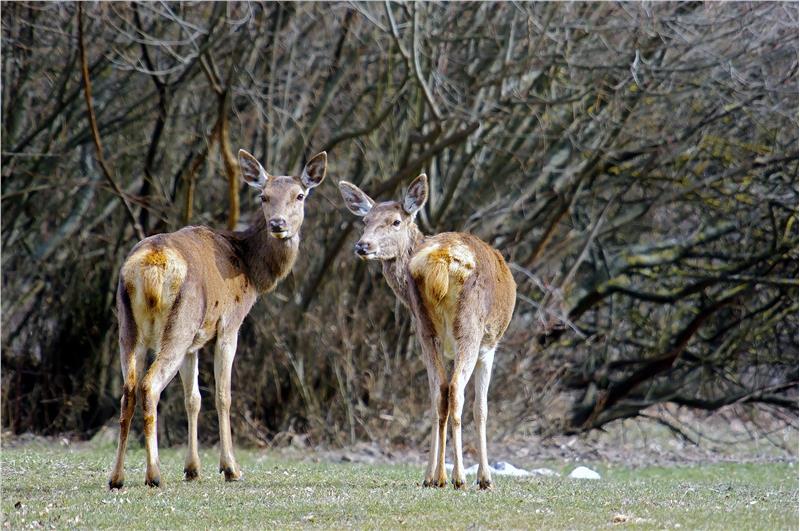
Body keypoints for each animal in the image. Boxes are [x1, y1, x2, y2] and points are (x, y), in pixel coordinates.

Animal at [108, 149, 327, 489]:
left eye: (299, 195)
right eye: (264, 196)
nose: (278, 224)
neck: (252, 272)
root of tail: (150, 267)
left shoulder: (195, 343)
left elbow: (194, 398)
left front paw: (192, 468)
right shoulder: (229, 324)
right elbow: (223, 395)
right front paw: (230, 468)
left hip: (129, 326)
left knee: (128, 389)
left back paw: (117, 477)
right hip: (179, 325)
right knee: (149, 385)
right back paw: (154, 474)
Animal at [338, 174, 516, 490]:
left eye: (395, 221)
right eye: (365, 220)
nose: (362, 245)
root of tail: (441, 261)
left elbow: (440, 397)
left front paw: (432, 475)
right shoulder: (490, 346)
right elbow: (481, 409)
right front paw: (485, 478)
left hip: (425, 329)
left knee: (438, 393)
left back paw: (436, 476)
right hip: (469, 327)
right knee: (455, 390)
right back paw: (459, 477)